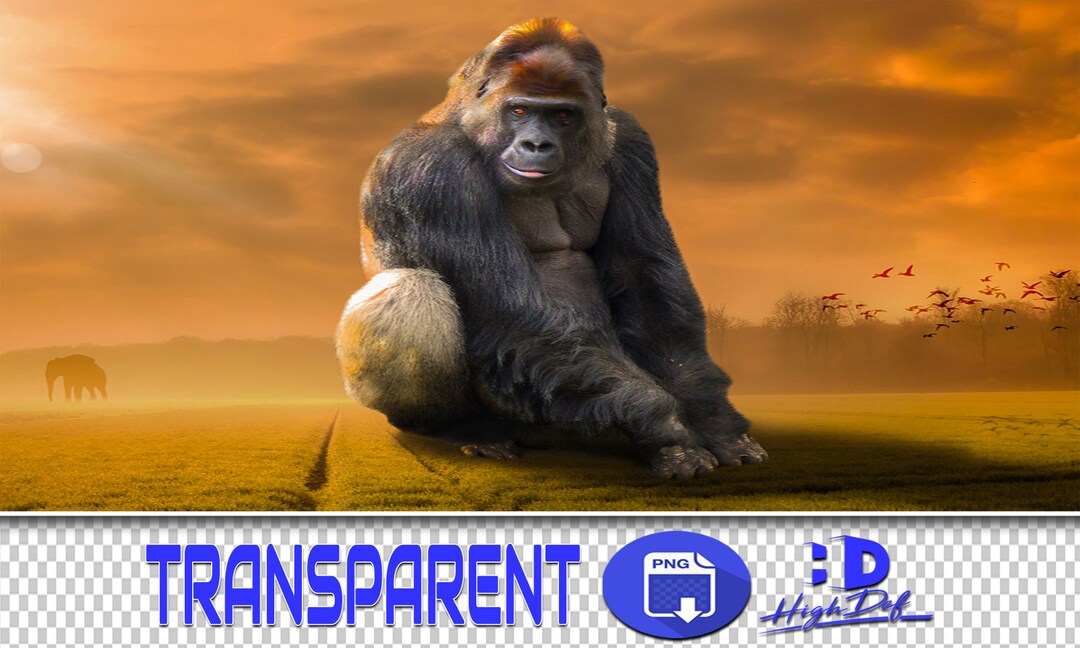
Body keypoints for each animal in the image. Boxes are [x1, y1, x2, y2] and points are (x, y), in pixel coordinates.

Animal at [336, 18, 766, 478]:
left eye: (562, 115)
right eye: (520, 111)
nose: (536, 145)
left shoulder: (629, 137)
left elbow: (644, 282)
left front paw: (714, 419)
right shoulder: (433, 167)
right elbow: (512, 313)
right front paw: (664, 425)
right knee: (409, 290)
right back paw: (461, 428)